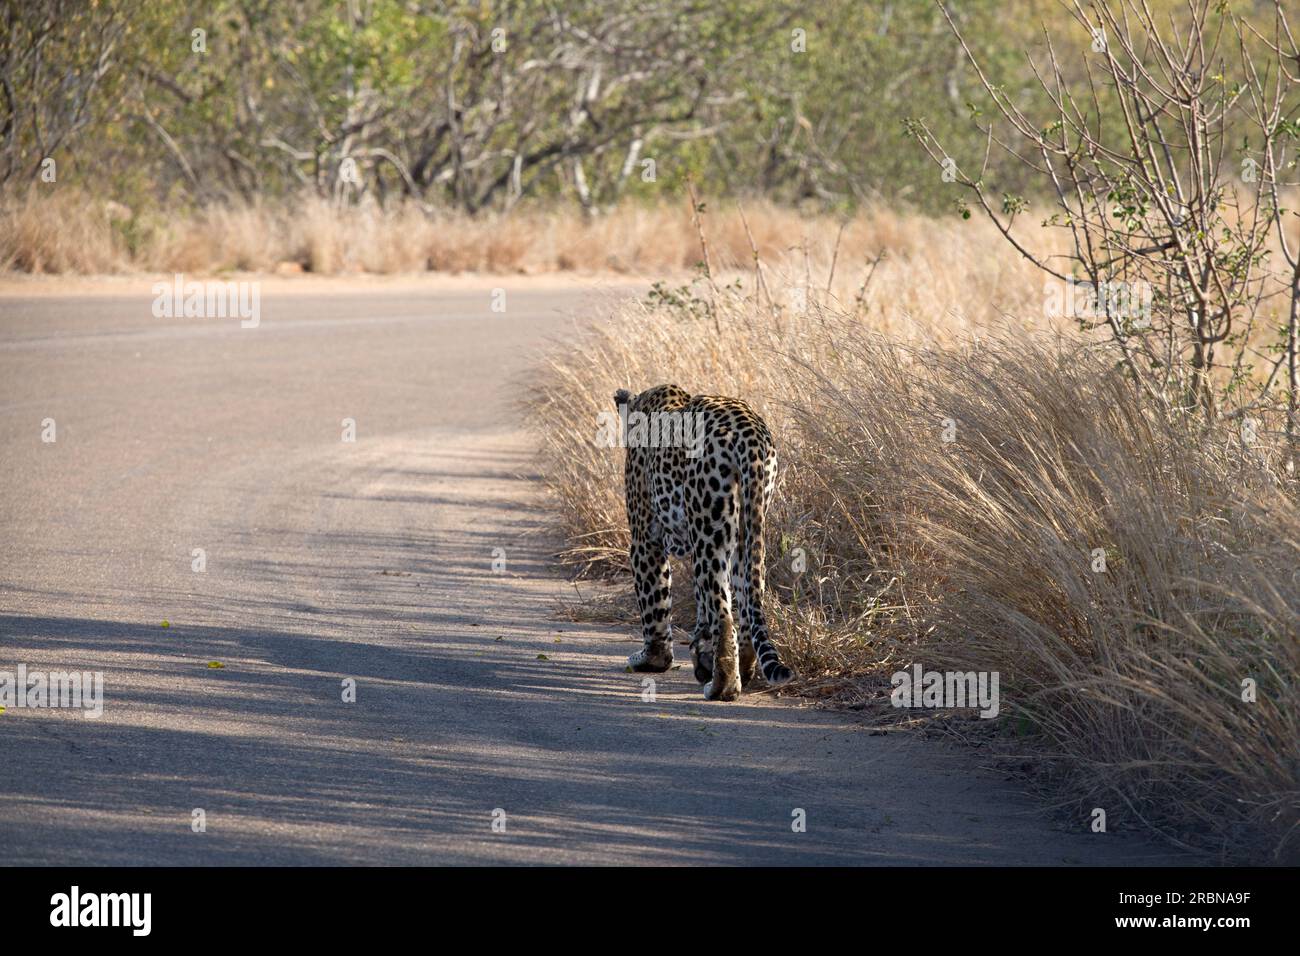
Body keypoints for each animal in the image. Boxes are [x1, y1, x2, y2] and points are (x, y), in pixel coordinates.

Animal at [615, 383, 792, 701]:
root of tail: (748, 431)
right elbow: (700, 603)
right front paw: (701, 655)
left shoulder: (645, 537)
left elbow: (654, 603)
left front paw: (652, 659)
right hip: (745, 526)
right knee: (745, 602)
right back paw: (743, 668)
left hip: (710, 531)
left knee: (723, 616)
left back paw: (722, 687)